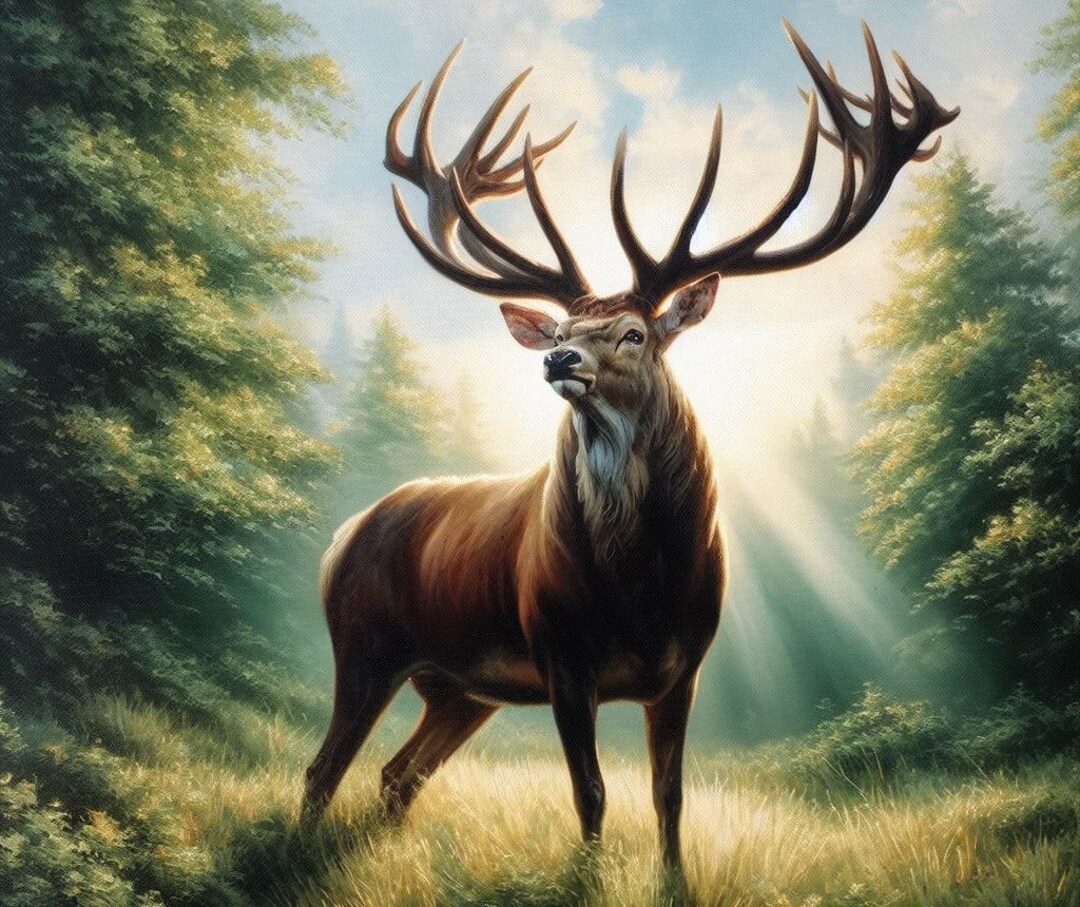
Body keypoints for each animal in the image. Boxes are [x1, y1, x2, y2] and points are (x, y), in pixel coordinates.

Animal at [302, 21, 957, 869]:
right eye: (561, 326)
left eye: (633, 331)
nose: (557, 357)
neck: (638, 588)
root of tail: (343, 534)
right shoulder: (561, 658)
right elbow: (591, 795)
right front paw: (586, 875)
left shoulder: (683, 668)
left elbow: (667, 798)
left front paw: (673, 878)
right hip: (365, 643)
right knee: (323, 768)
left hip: (461, 687)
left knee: (395, 772)